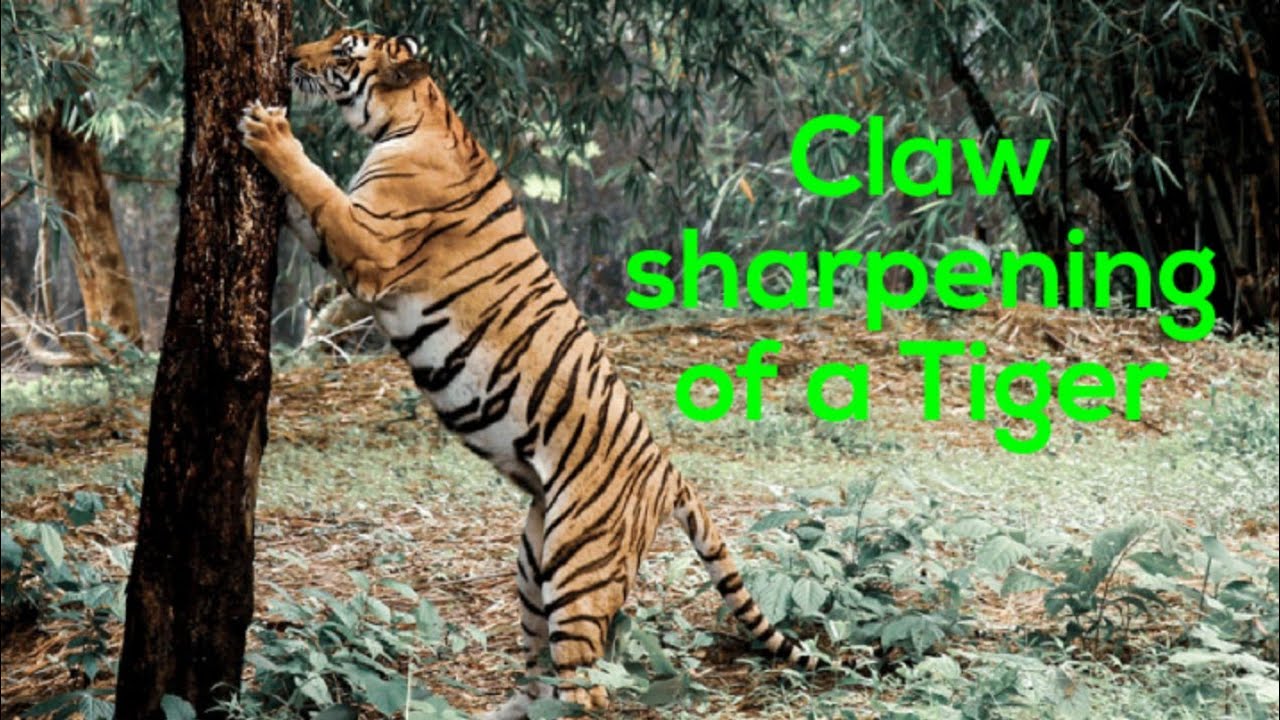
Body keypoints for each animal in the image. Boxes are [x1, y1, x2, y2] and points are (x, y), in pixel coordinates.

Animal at [239, 28, 827, 717]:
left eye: (343, 50)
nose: (288, 58)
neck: (415, 117)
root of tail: (670, 473)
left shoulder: (368, 242)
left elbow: (316, 184)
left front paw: (269, 131)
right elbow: (306, 205)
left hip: (579, 565)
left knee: (586, 687)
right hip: (532, 560)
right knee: (541, 669)